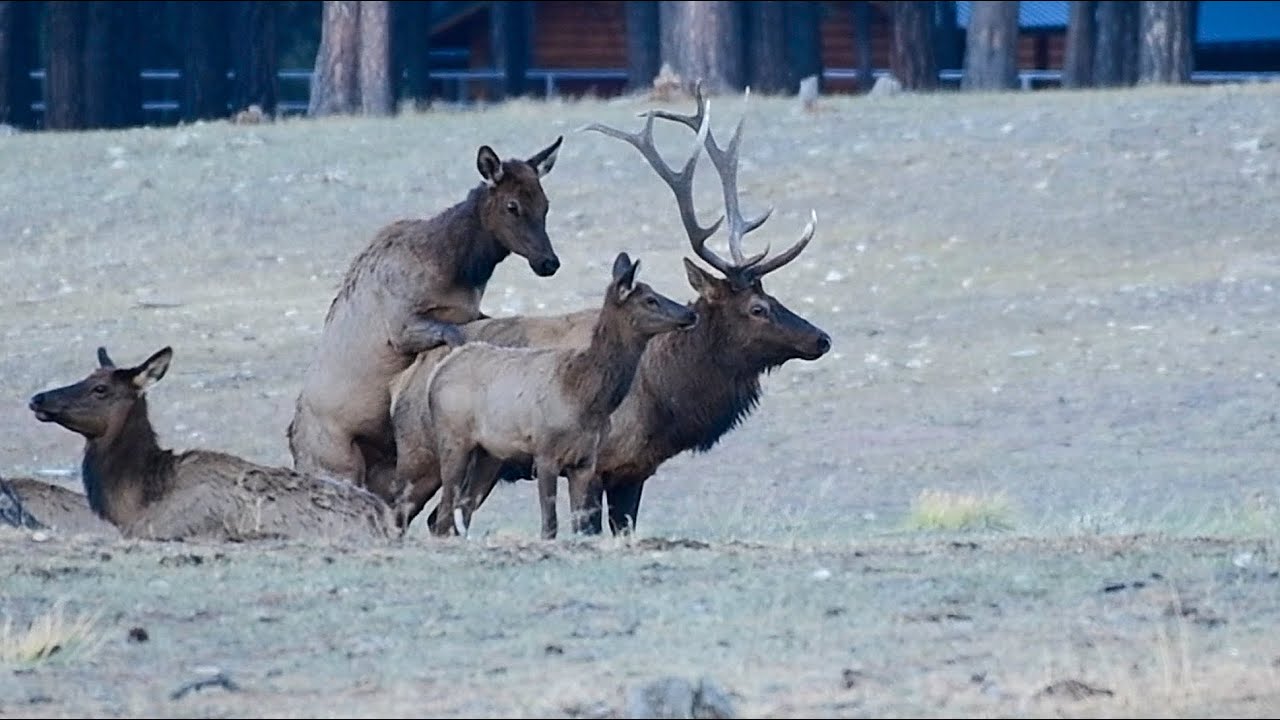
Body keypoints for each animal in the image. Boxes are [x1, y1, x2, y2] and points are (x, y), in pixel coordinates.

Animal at [288, 136, 565, 499]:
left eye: (545, 204)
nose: (549, 262)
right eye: (512, 206)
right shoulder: (400, 328)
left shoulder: (471, 310)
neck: (457, 271)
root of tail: (292, 444)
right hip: (337, 464)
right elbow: (454, 335)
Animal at [391, 250, 698, 539]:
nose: (690, 313)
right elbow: (549, 527)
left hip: (488, 455)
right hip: (450, 440)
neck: (584, 397)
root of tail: (437, 372)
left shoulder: (585, 461)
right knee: (430, 511)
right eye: (650, 299)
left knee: (456, 510)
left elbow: (580, 526)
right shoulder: (545, 452)